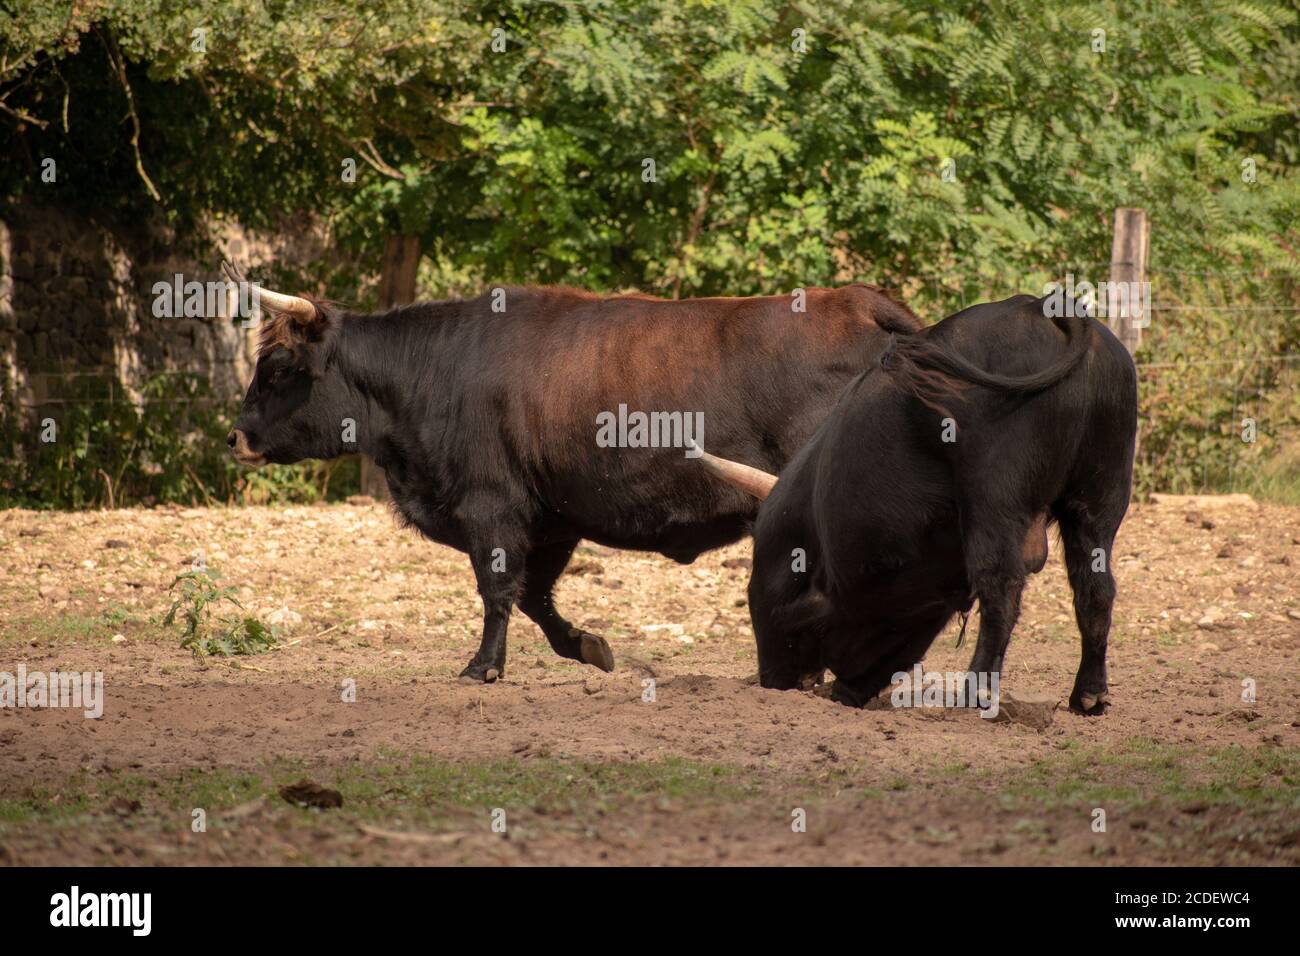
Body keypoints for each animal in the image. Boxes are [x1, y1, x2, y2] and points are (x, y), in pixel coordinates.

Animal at [221, 261, 921, 682]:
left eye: (278, 367)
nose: (237, 436)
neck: (432, 371)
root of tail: (857, 301)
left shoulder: (492, 507)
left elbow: (498, 590)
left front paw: (483, 666)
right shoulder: (552, 518)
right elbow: (535, 597)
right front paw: (587, 646)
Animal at [694, 294, 1137, 715]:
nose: (775, 680)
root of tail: (1041, 310)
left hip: (994, 499)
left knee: (1002, 586)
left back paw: (975, 693)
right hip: (1099, 500)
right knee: (1095, 588)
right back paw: (1089, 695)